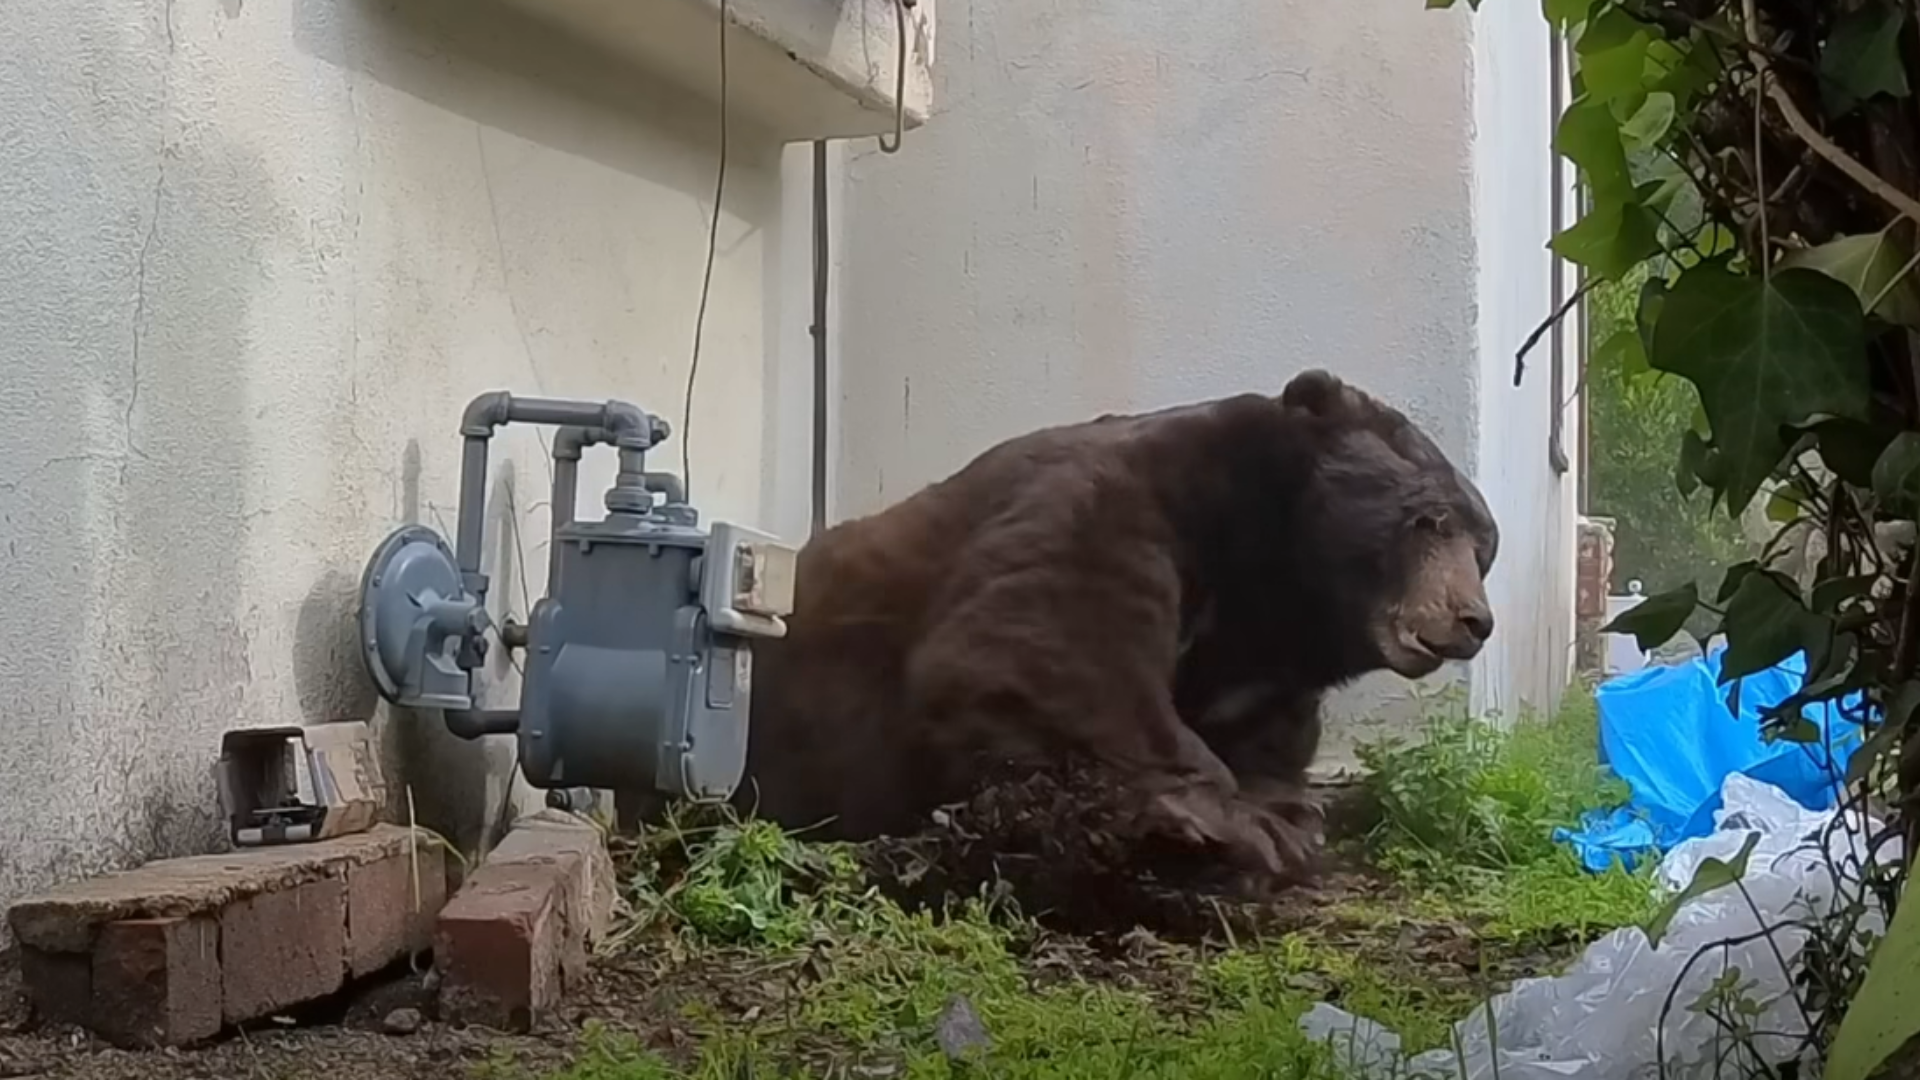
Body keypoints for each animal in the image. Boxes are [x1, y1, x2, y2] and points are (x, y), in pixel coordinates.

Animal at [736, 368, 1499, 887]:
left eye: (1485, 547)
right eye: (1432, 519)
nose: (1474, 620)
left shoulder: (1255, 652)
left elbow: (1262, 735)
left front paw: (1285, 810)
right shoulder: (1114, 500)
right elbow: (1042, 651)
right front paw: (1236, 824)